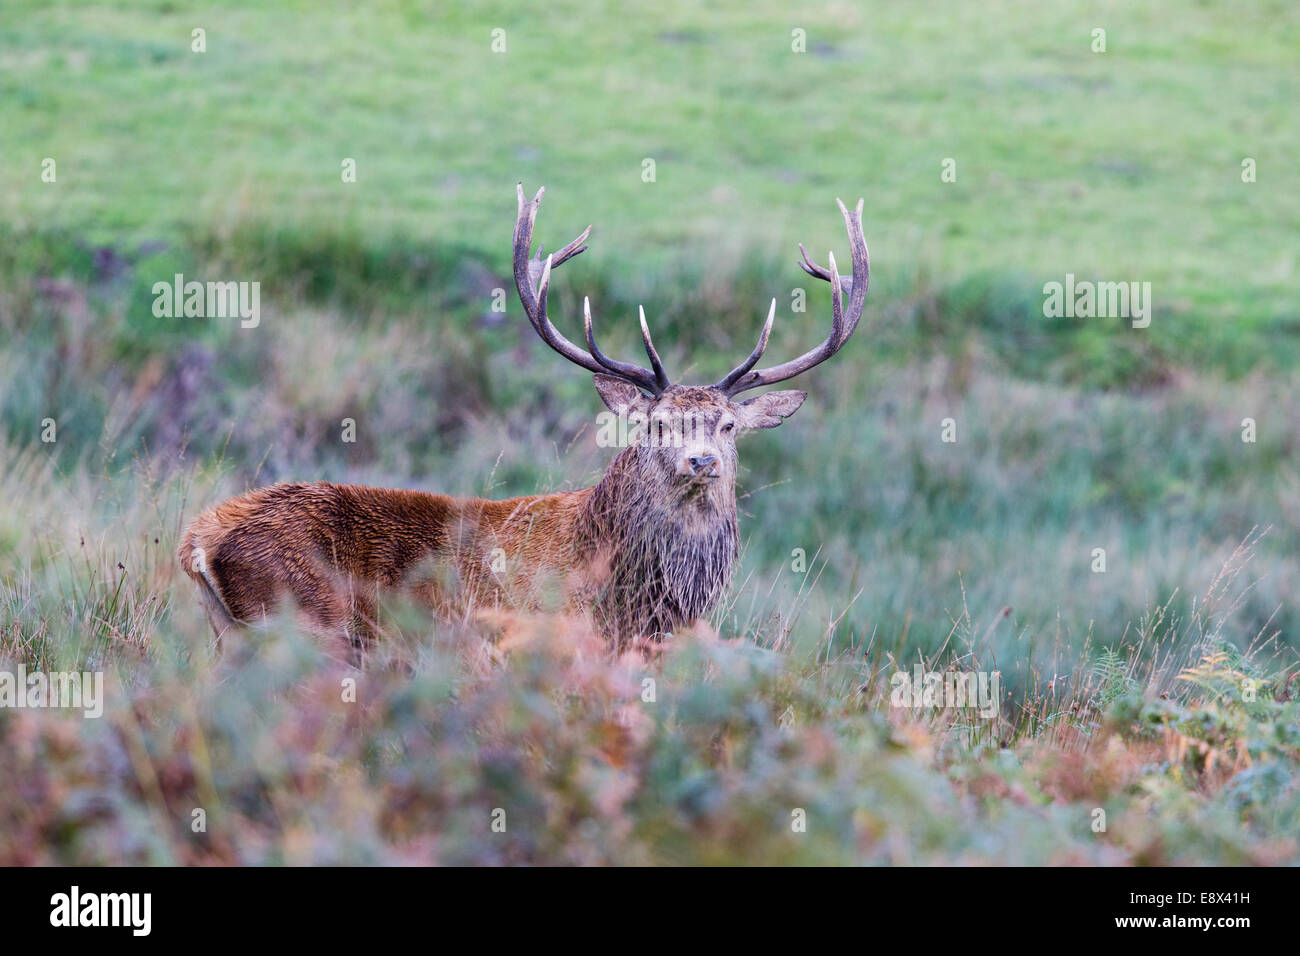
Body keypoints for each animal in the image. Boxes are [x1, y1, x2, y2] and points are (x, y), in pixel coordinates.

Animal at [177, 184, 869, 658]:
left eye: (728, 427)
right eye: (655, 425)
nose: (702, 461)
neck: (628, 596)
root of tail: (199, 540)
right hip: (305, 626)